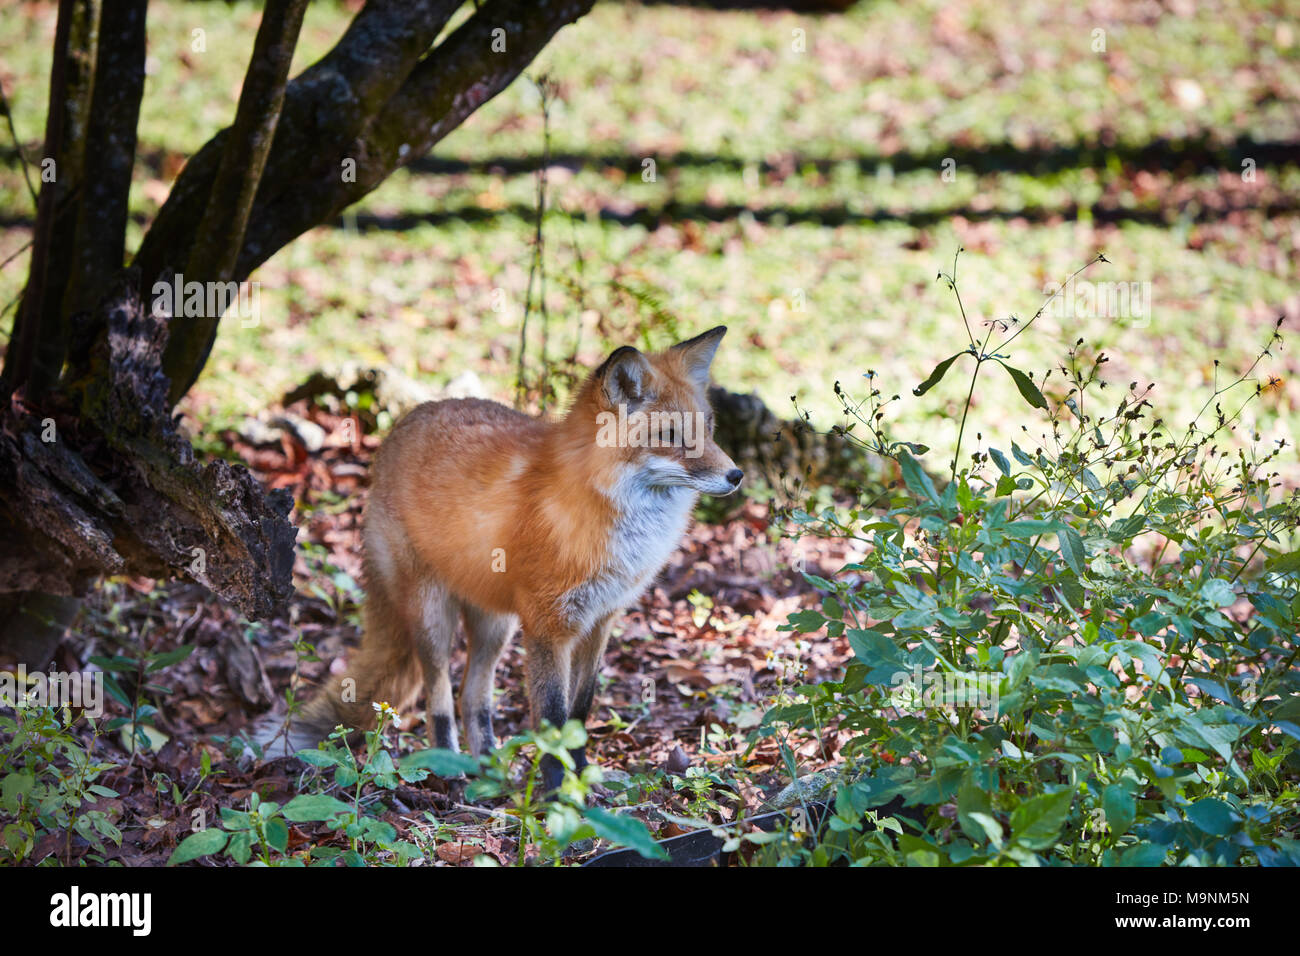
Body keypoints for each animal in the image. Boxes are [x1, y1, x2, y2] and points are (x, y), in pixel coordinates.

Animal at [266, 326, 742, 792]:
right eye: (671, 436)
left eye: (709, 428)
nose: (736, 475)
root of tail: (402, 428)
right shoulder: (549, 625)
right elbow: (551, 718)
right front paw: (555, 795)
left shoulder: (600, 620)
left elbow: (580, 711)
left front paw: (581, 778)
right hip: (433, 618)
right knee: (440, 698)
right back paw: (450, 771)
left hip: (496, 626)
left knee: (472, 697)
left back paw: (491, 770)